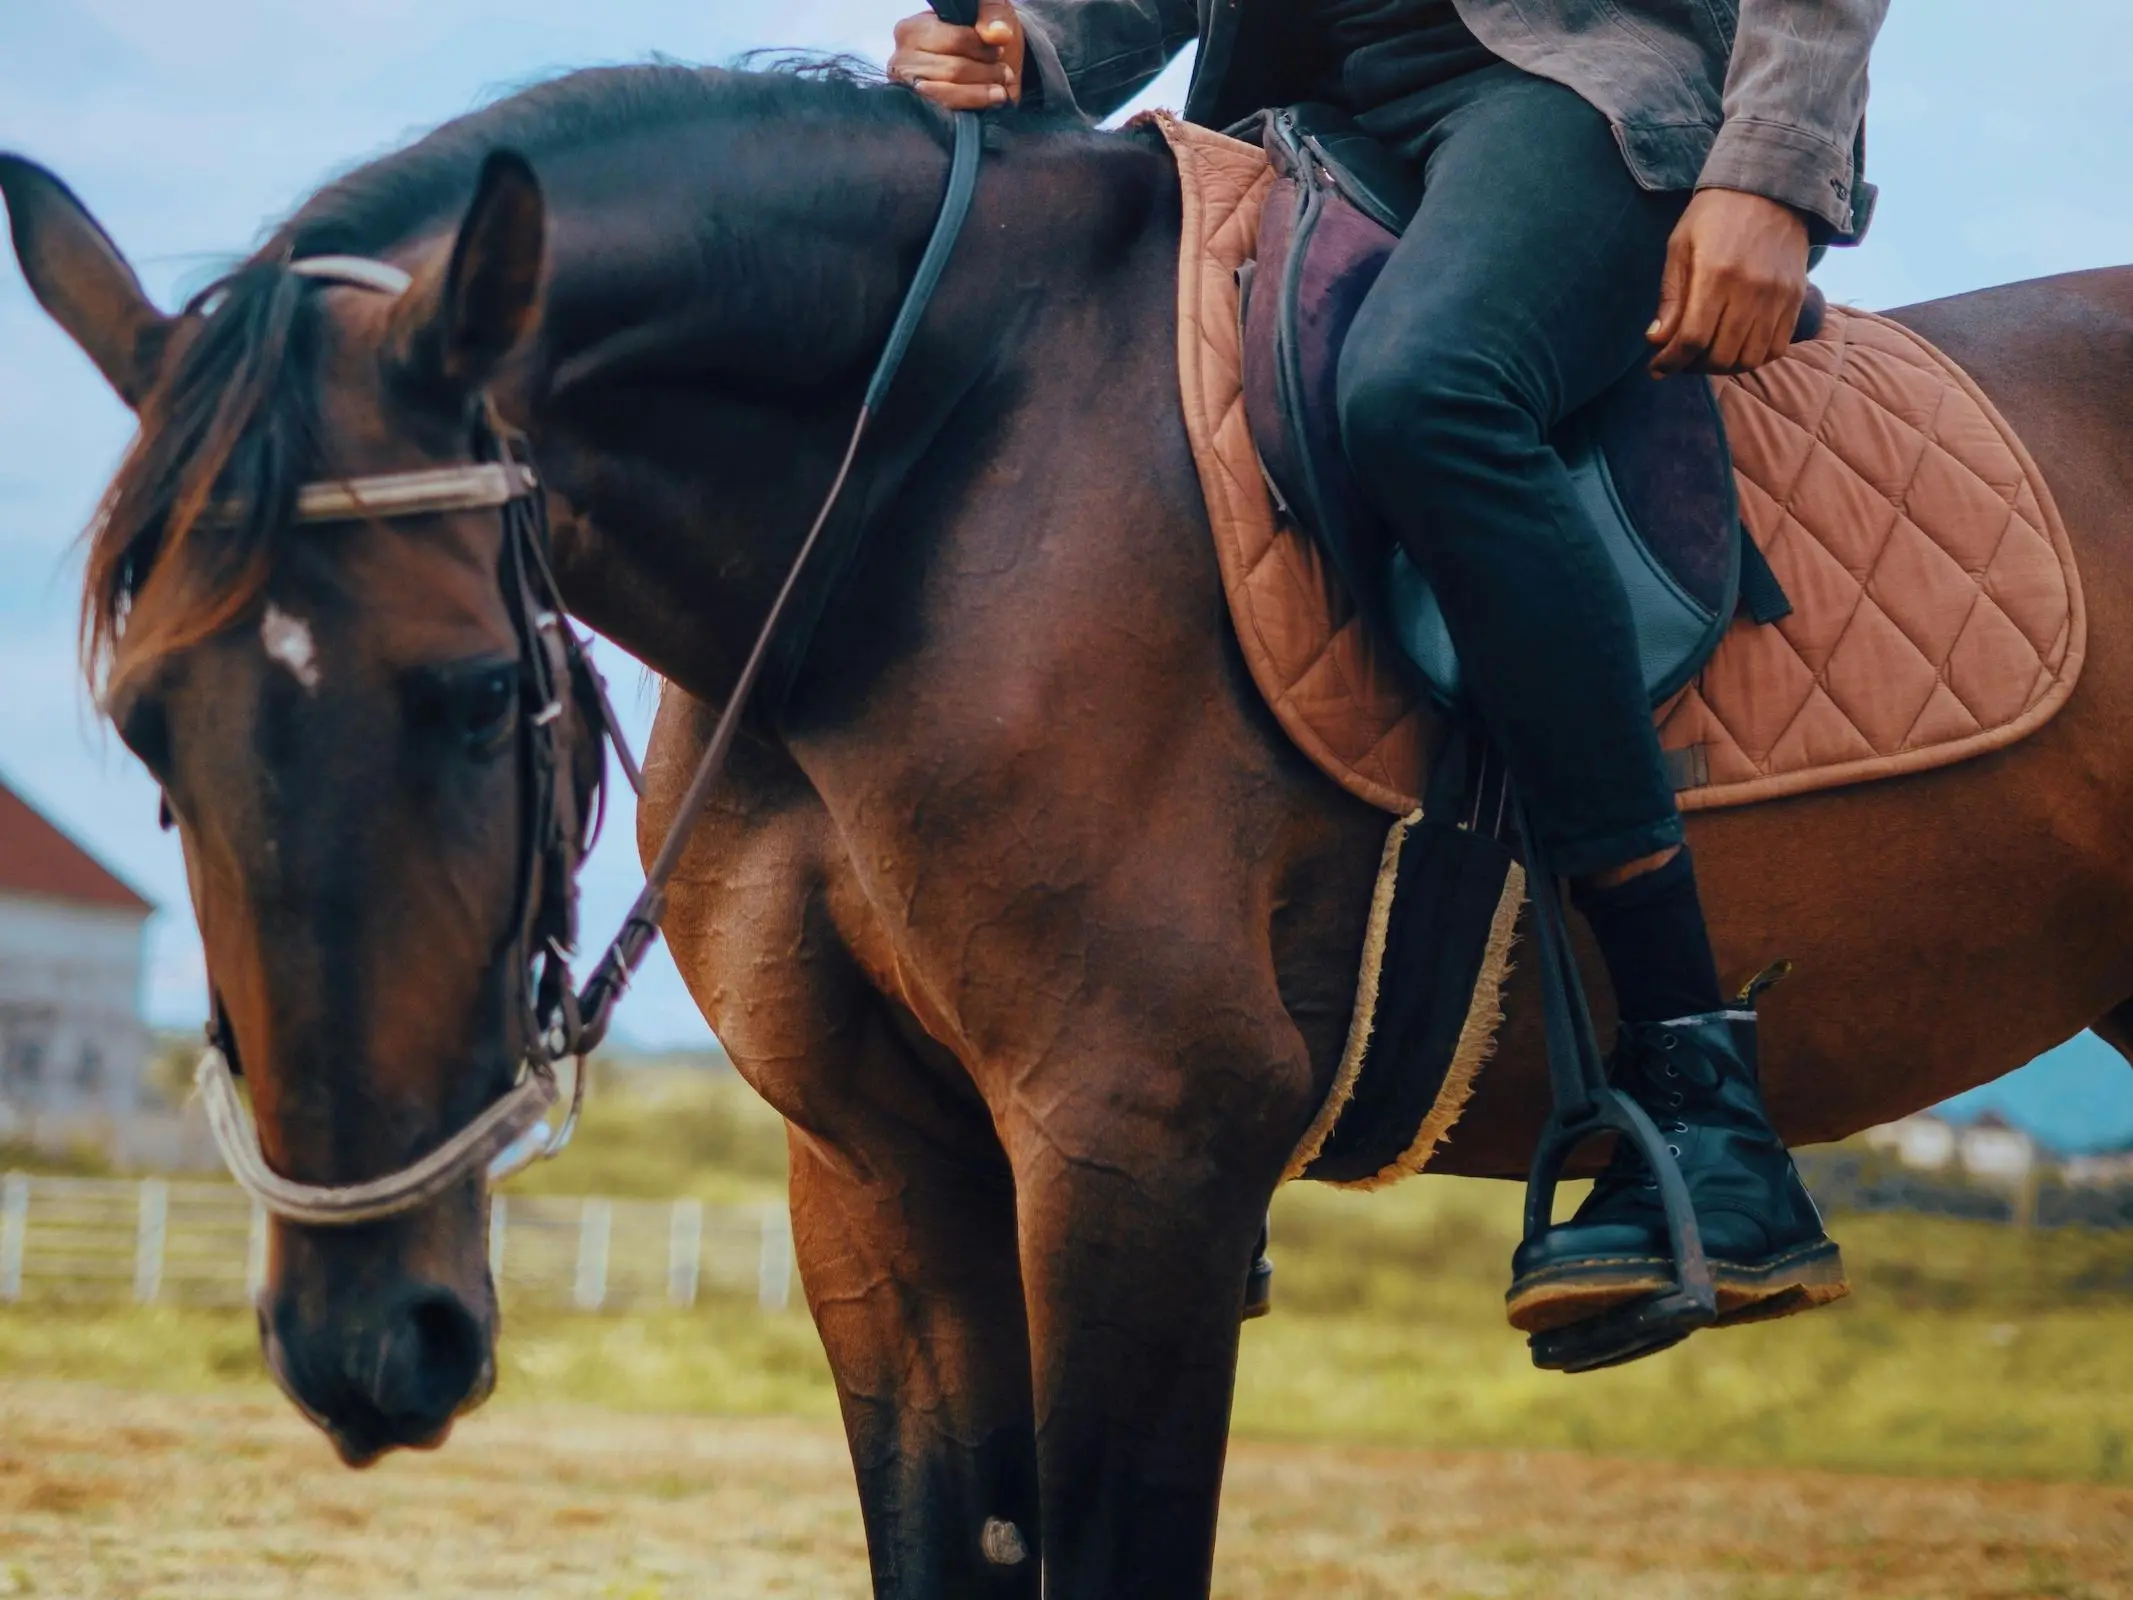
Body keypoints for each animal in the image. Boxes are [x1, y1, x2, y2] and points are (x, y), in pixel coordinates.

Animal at [6, 59, 2133, 1599]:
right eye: (147, 730)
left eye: (465, 694)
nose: (371, 1341)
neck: (921, 489)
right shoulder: (879, 1176)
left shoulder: (1134, 1157)